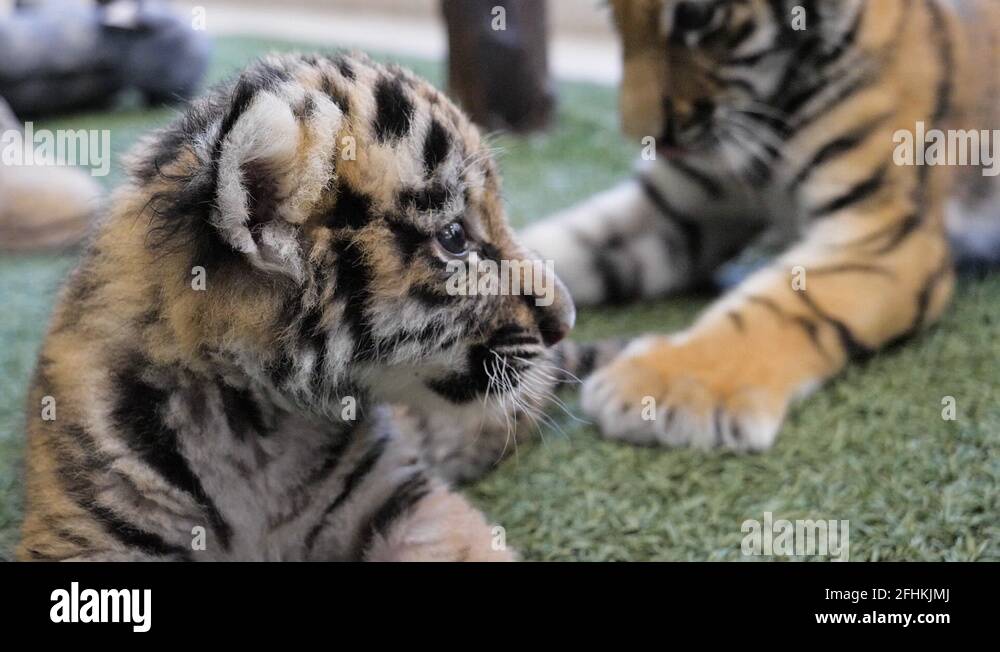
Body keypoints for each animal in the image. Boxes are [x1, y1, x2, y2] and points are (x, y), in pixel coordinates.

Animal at [522, 0, 1000, 450]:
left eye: (695, 15)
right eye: (609, 12)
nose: (645, 137)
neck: (773, 107)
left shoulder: (884, 232)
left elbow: (782, 303)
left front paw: (670, 387)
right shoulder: (676, 211)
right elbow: (569, 240)